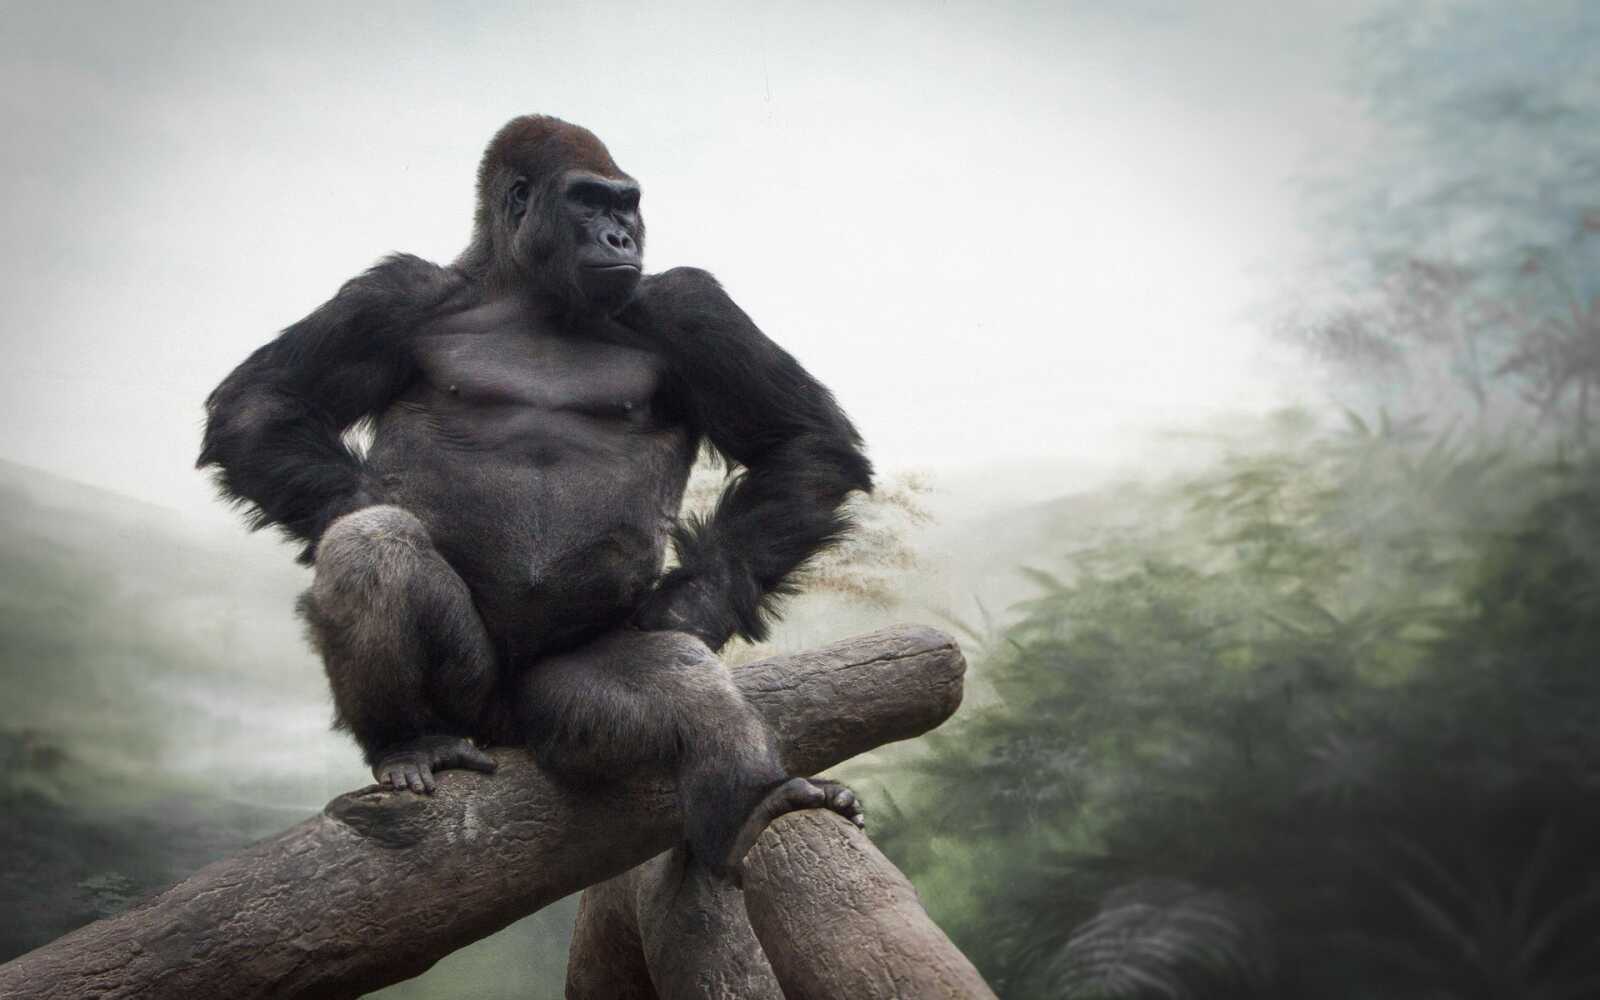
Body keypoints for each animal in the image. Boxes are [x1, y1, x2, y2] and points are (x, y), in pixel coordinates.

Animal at [197, 115, 872, 877]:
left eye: (626, 204)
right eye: (587, 200)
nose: (620, 239)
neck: (528, 291)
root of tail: (505, 727)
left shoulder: (688, 305)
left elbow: (802, 442)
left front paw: (692, 603)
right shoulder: (394, 294)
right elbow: (263, 407)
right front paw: (365, 491)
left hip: (553, 703)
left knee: (675, 683)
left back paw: (753, 803)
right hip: (469, 700)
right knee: (371, 545)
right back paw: (407, 740)